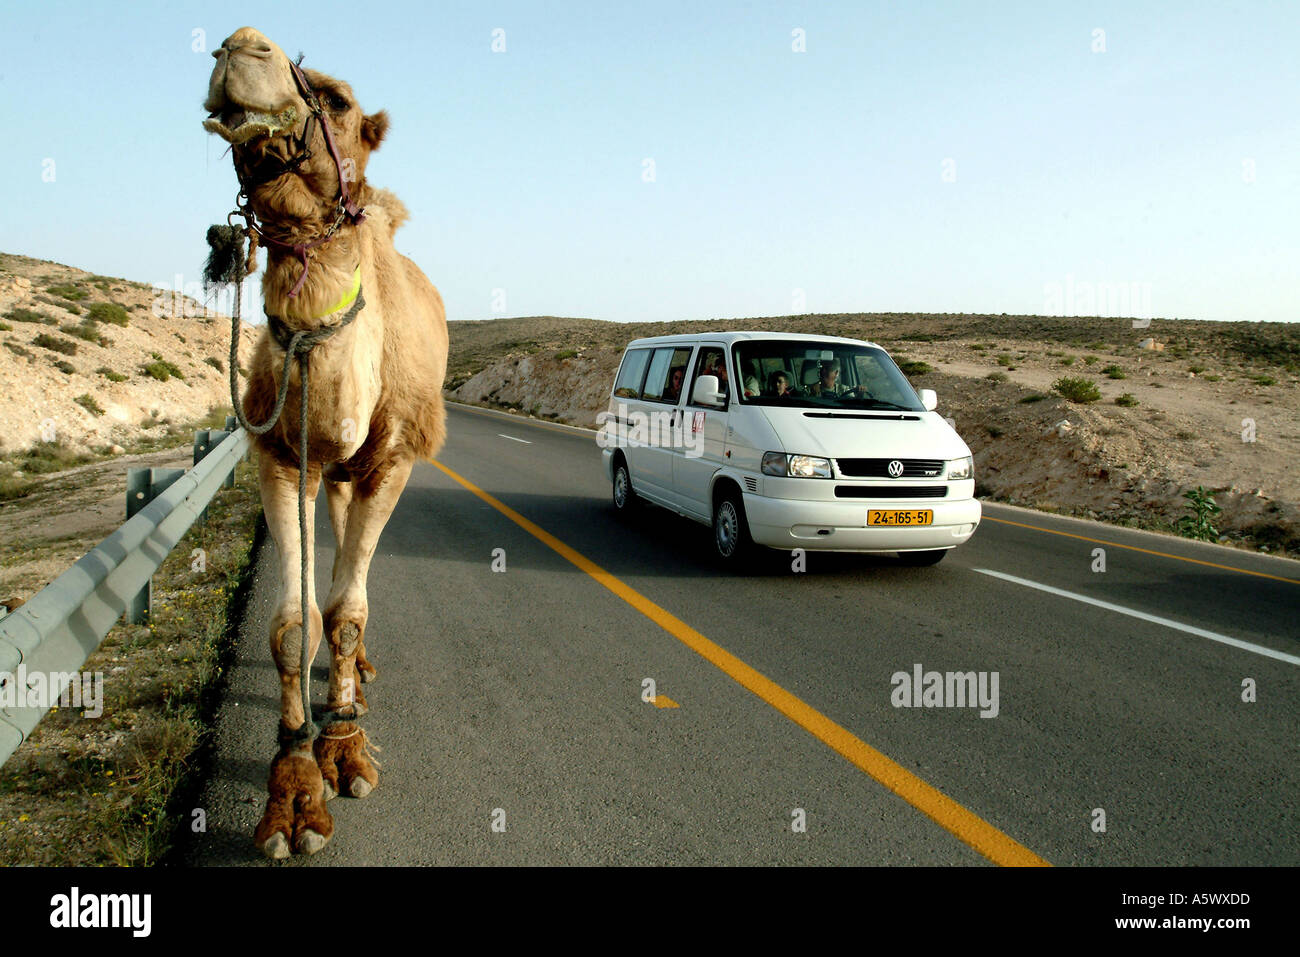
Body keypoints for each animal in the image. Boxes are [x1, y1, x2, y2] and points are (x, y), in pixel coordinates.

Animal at [202, 26, 447, 858]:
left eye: (337, 100)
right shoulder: (281, 455)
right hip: (330, 468)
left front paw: (344, 747)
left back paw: (360, 677)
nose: (240, 44)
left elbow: (343, 612)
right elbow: (294, 623)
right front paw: (294, 793)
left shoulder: (392, 458)